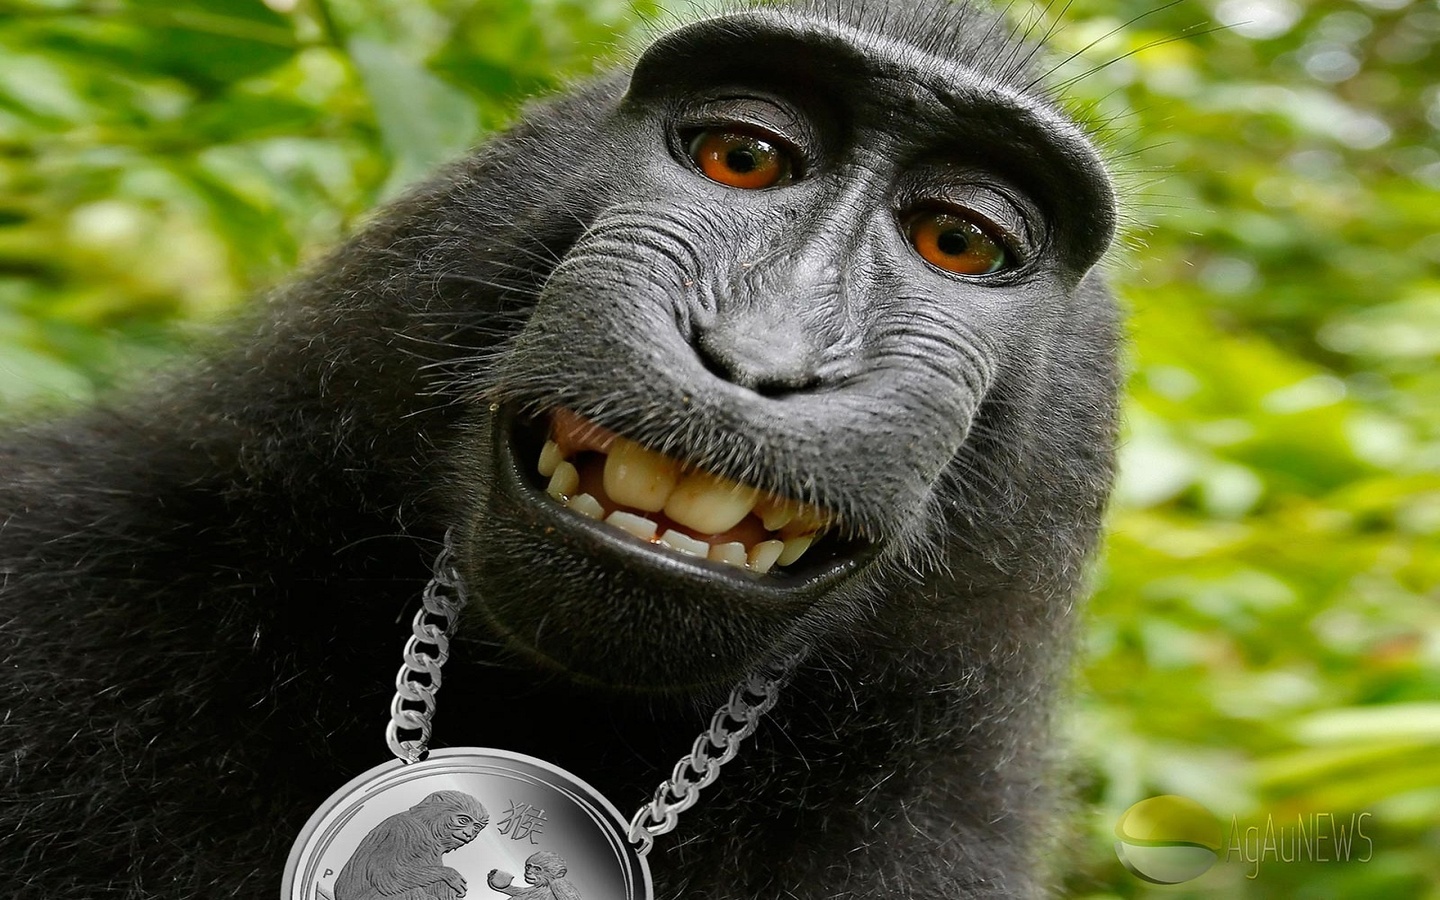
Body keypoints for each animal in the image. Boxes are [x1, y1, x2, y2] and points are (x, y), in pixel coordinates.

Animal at [334, 791, 489, 900]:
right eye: (463, 820)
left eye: (476, 827)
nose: (468, 834)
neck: (427, 826)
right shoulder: (403, 830)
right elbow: (387, 875)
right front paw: (450, 874)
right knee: (409, 891)